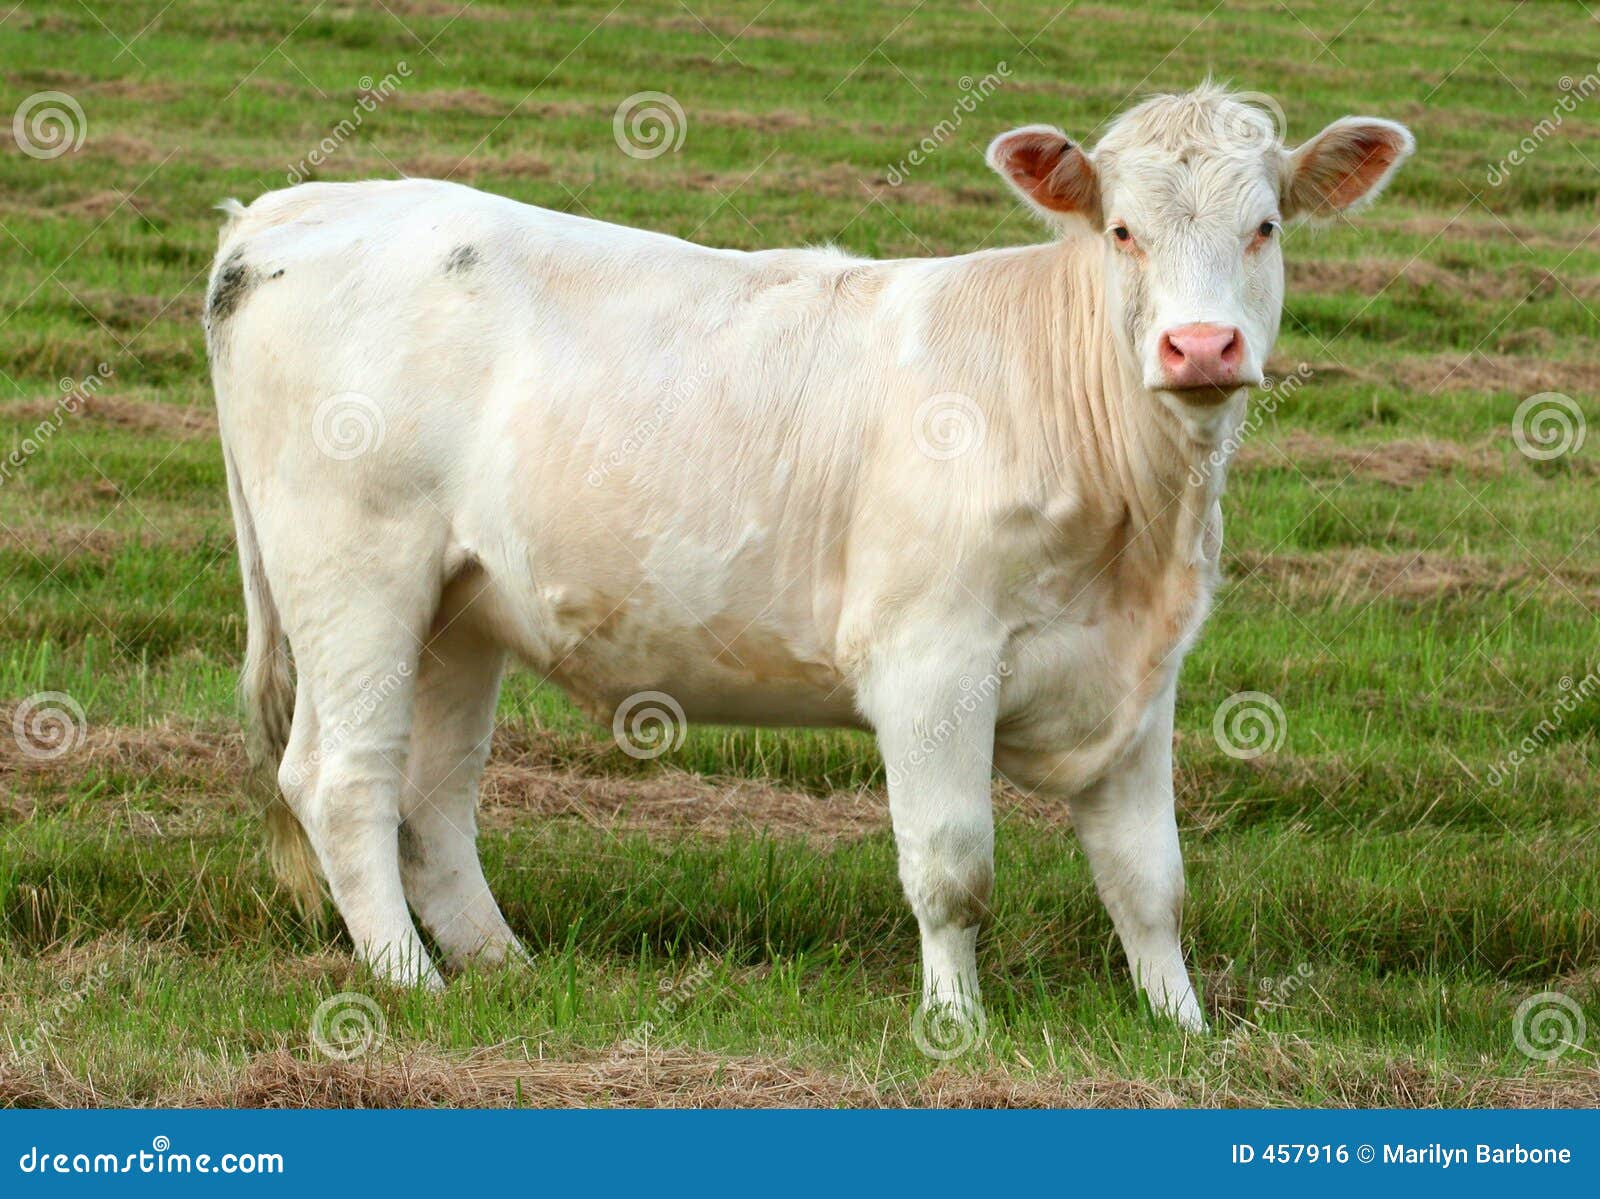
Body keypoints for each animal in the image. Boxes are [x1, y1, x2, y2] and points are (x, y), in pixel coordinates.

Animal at [206, 84, 1412, 1033]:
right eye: (1121, 230)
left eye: (1265, 226)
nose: (1200, 347)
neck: (1134, 526)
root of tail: (289, 207)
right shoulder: (928, 660)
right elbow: (952, 867)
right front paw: (956, 1027)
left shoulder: (1138, 674)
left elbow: (1149, 878)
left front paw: (1184, 1029)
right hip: (354, 572)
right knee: (342, 779)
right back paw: (410, 983)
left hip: (461, 605)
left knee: (434, 791)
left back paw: (503, 965)